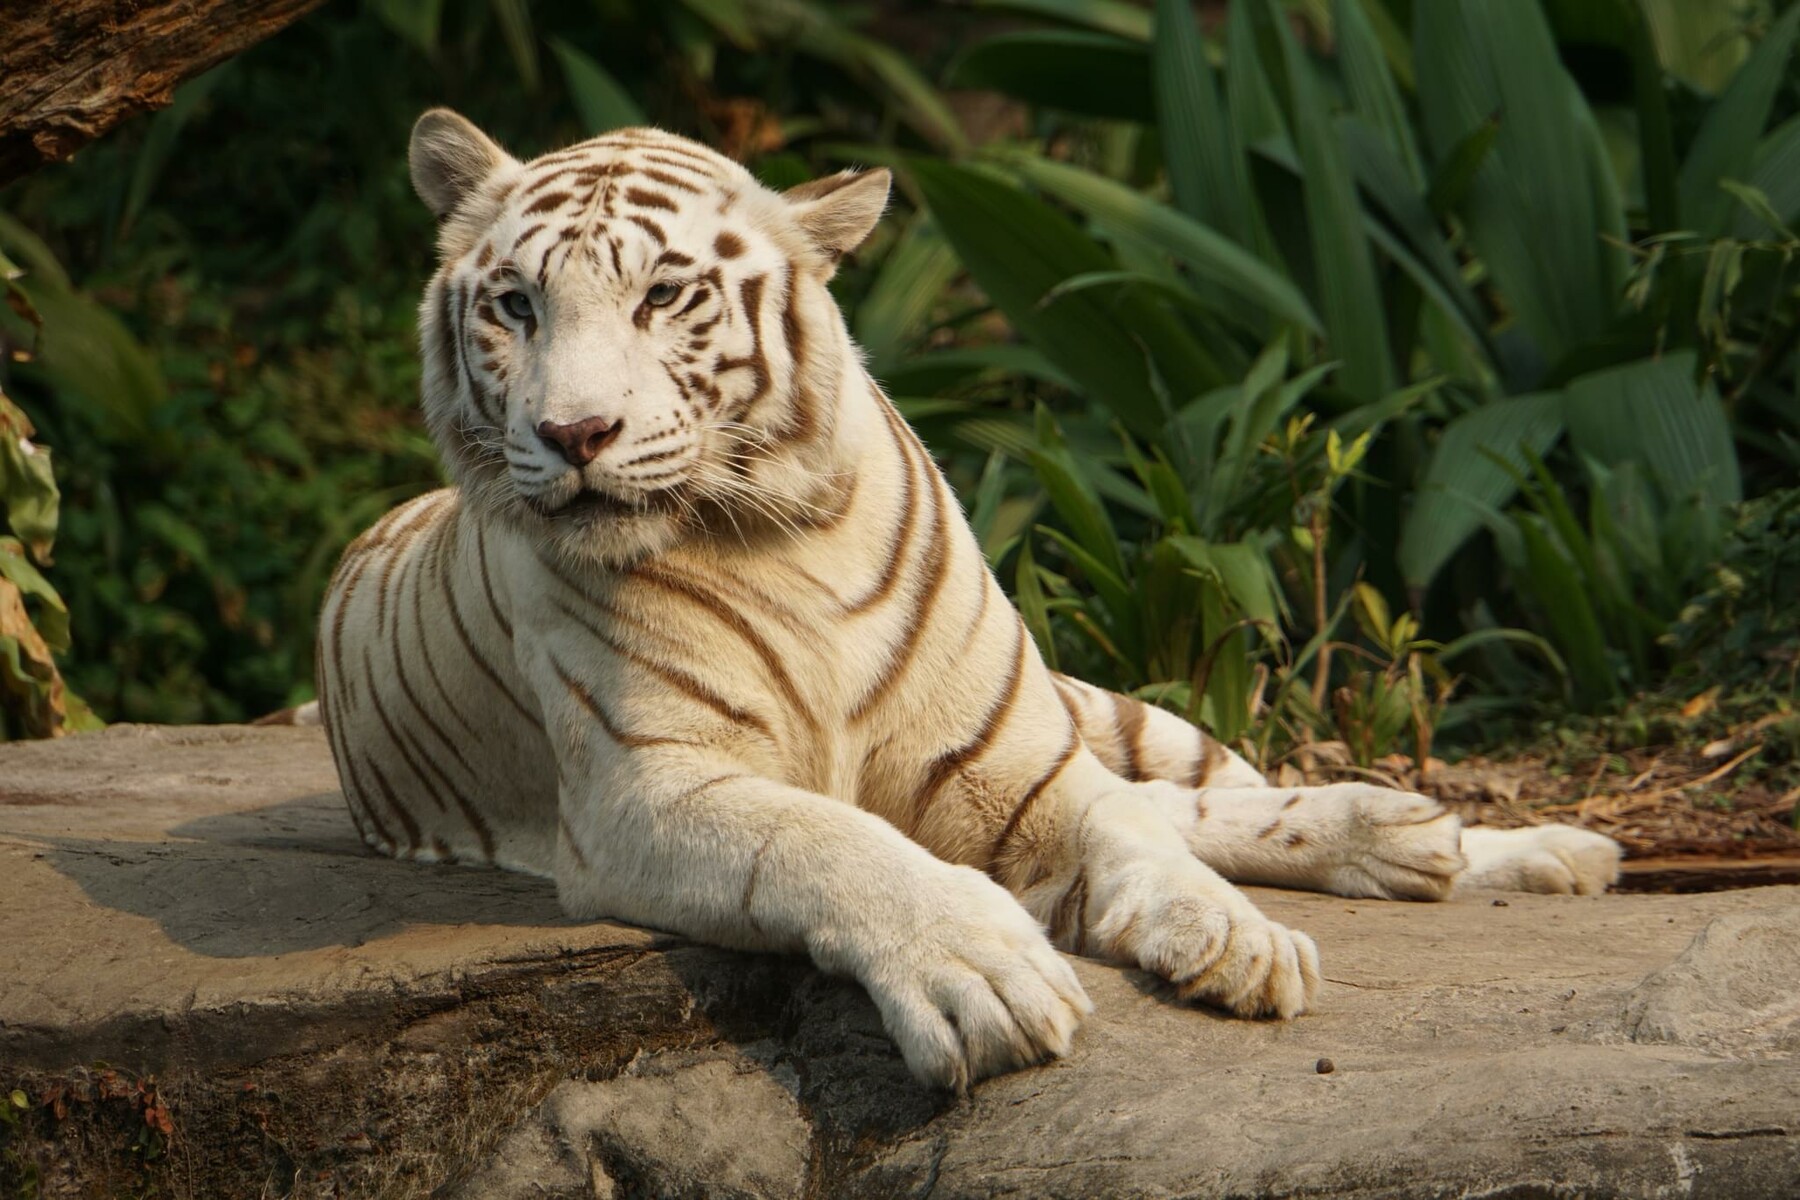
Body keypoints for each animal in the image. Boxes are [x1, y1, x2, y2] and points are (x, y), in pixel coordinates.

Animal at [315, 108, 1622, 1092]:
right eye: (517, 307)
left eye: (663, 299)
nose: (573, 434)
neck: (776, 536)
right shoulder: (643, 791)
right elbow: (835, 841)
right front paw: (984, 974)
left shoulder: (1016, 763)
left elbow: (1131, 833)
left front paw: (1237, 939)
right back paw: (1422, 841)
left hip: (1112, 709)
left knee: (1181, 791)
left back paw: (1494, 843)